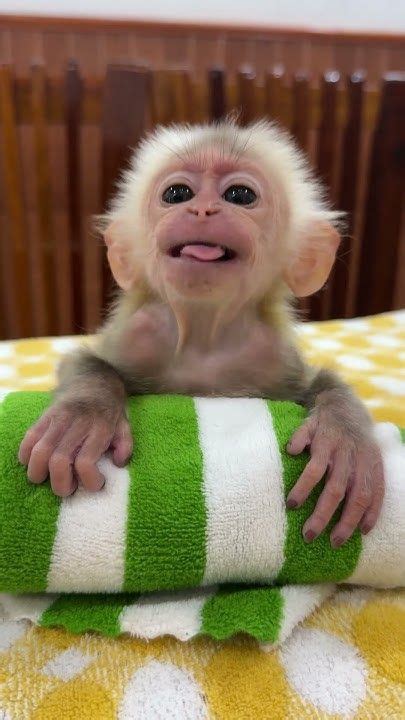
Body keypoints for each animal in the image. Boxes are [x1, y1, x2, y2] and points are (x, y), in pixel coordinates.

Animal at [18, 120, 384, 549]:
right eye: (177, 194)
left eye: (240, 195)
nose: (202, 209)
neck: (203, 338)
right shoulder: (139, 335)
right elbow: (90, 363)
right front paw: (82, 417)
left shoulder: (271, 356)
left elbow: (316, 386)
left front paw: (345, 442)